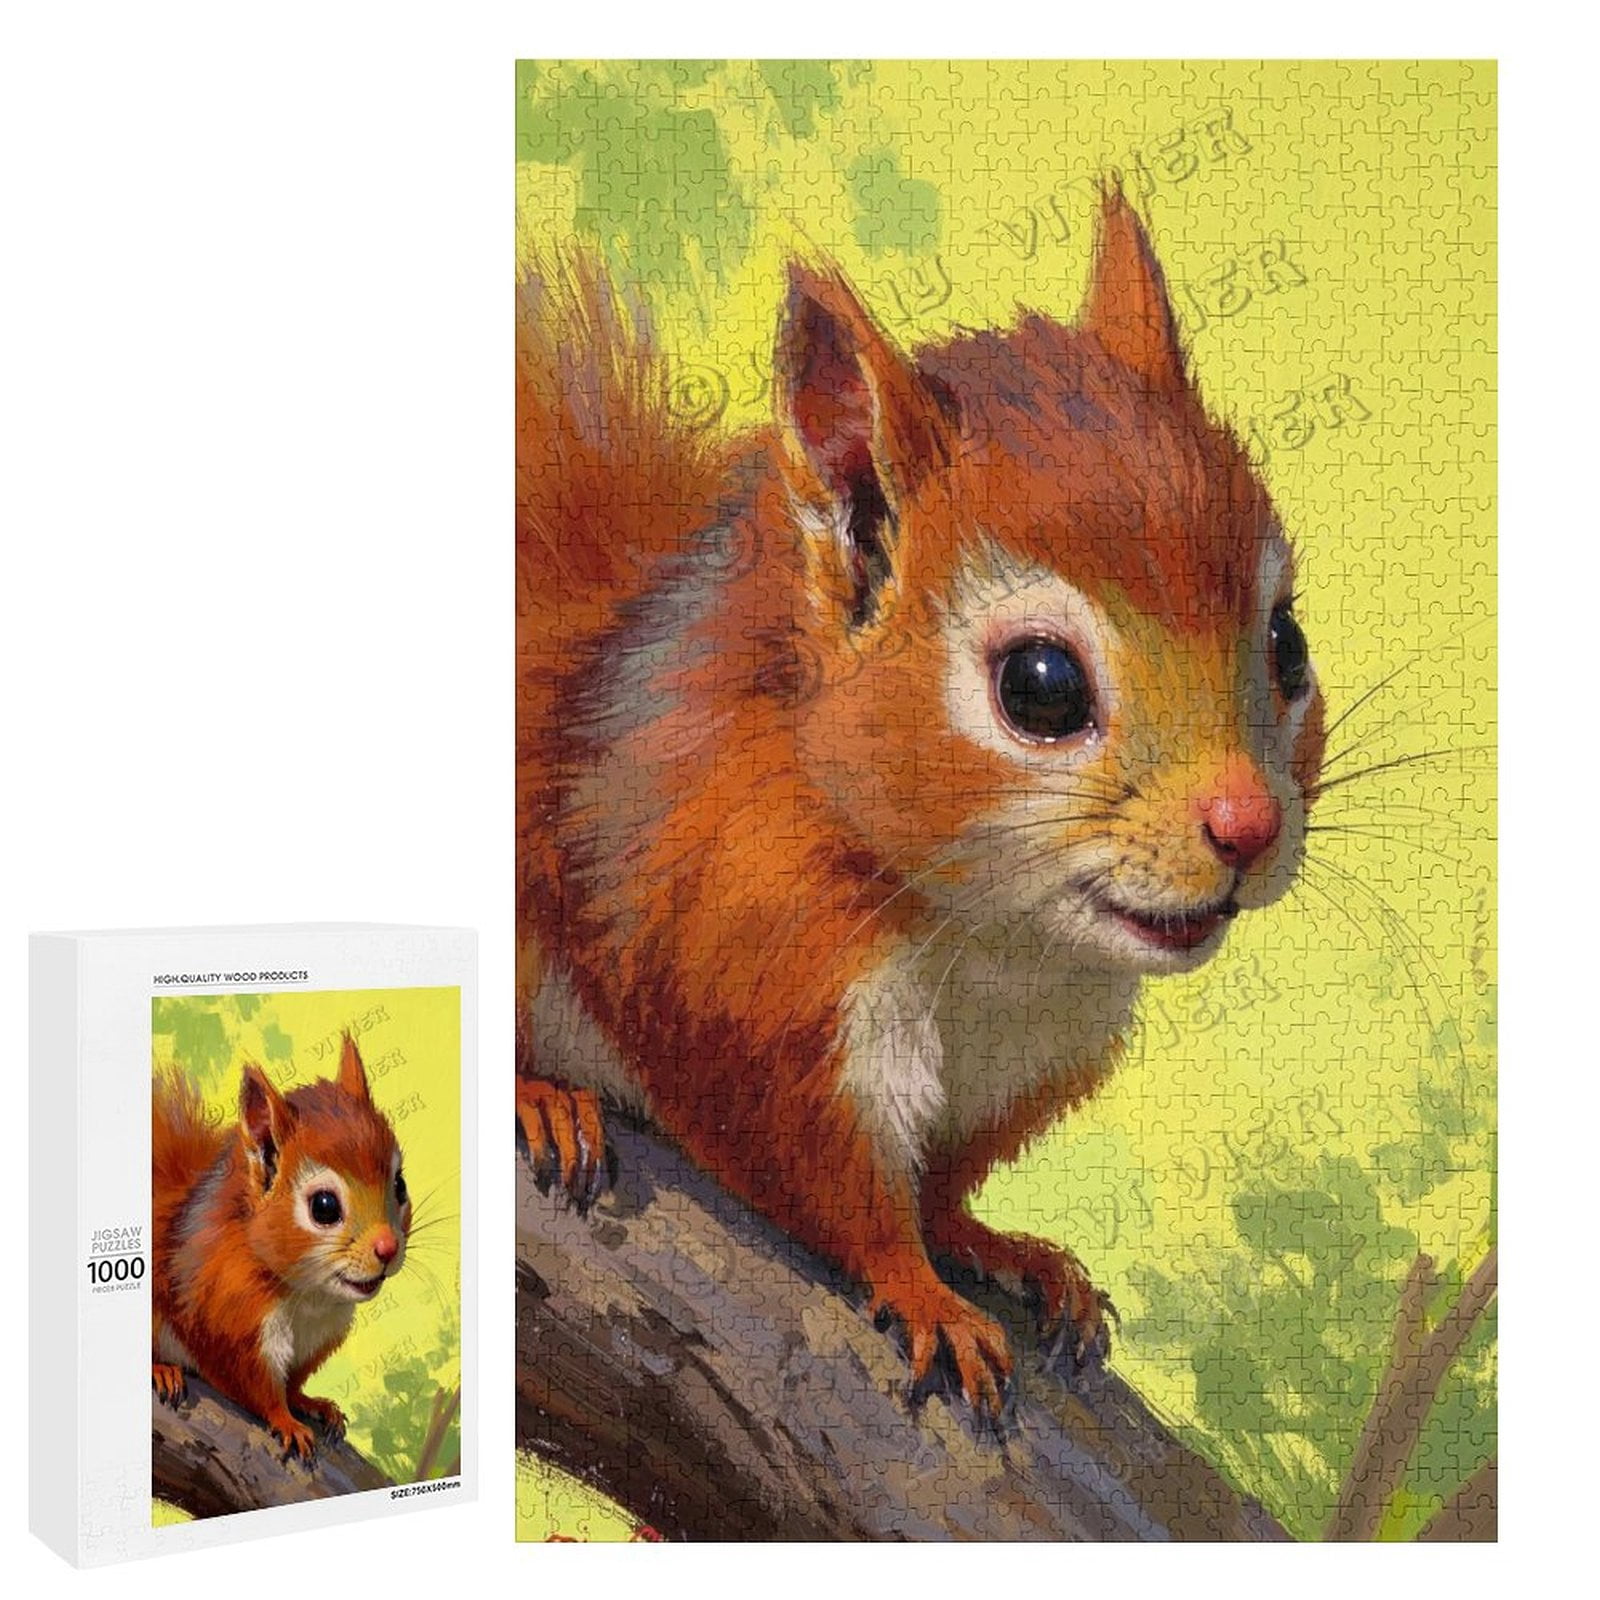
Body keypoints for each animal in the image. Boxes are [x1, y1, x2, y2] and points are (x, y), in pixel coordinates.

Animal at [152, 1034, 412, 1461]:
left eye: (401, 1185)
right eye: (324, 1206)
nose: (387, 1248)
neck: (309, 1296)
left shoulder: (318, 1340)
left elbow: (292, 1383)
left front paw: (310, 1403)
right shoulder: (231, 1322)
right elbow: (255, 1387)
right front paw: (285, 1420)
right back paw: (161, 1368)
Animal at [515, 184, 1326, 1418]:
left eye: (1287, 644)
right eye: (1039, 686)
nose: (1248, 828)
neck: (997, 942)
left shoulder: (1022, 1070)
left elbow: (943, 1184)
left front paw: (998, 1247)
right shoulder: (754, 987)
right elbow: (828, 1182)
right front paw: (922, 1288)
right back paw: (542, 1095)